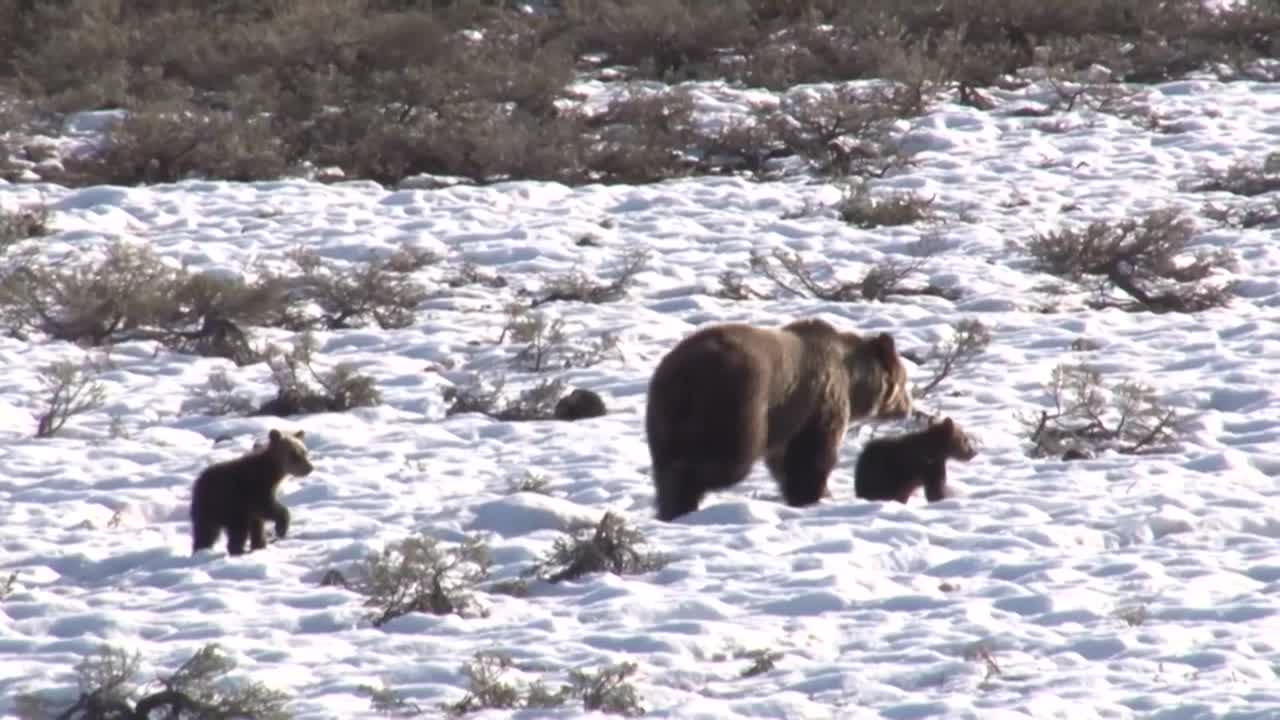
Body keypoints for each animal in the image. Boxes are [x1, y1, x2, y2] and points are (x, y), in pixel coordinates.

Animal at [190, 428, 314, 557]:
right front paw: (280, 528)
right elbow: (269, 507)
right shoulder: (256, 488)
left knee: (205, 533)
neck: (272, 471)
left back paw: (202, 550)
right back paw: (237, 550)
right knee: (237, 530)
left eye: (304, 452)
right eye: (294, 454)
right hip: (229, 505)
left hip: (207, 512)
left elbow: (258, 523)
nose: (309, 468)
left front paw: (260, 544)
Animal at [644, 317, 913, 522]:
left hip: (663, 415)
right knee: (726, 461)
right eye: (904, 381)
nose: (907, 408)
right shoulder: (819, 402)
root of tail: (685, 375)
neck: (852, 381)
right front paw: (814, 495)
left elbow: (785, 461)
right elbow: (812, 456)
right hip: (735, 403)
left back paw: (672, 507)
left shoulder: (787, 420)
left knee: (666, 467)